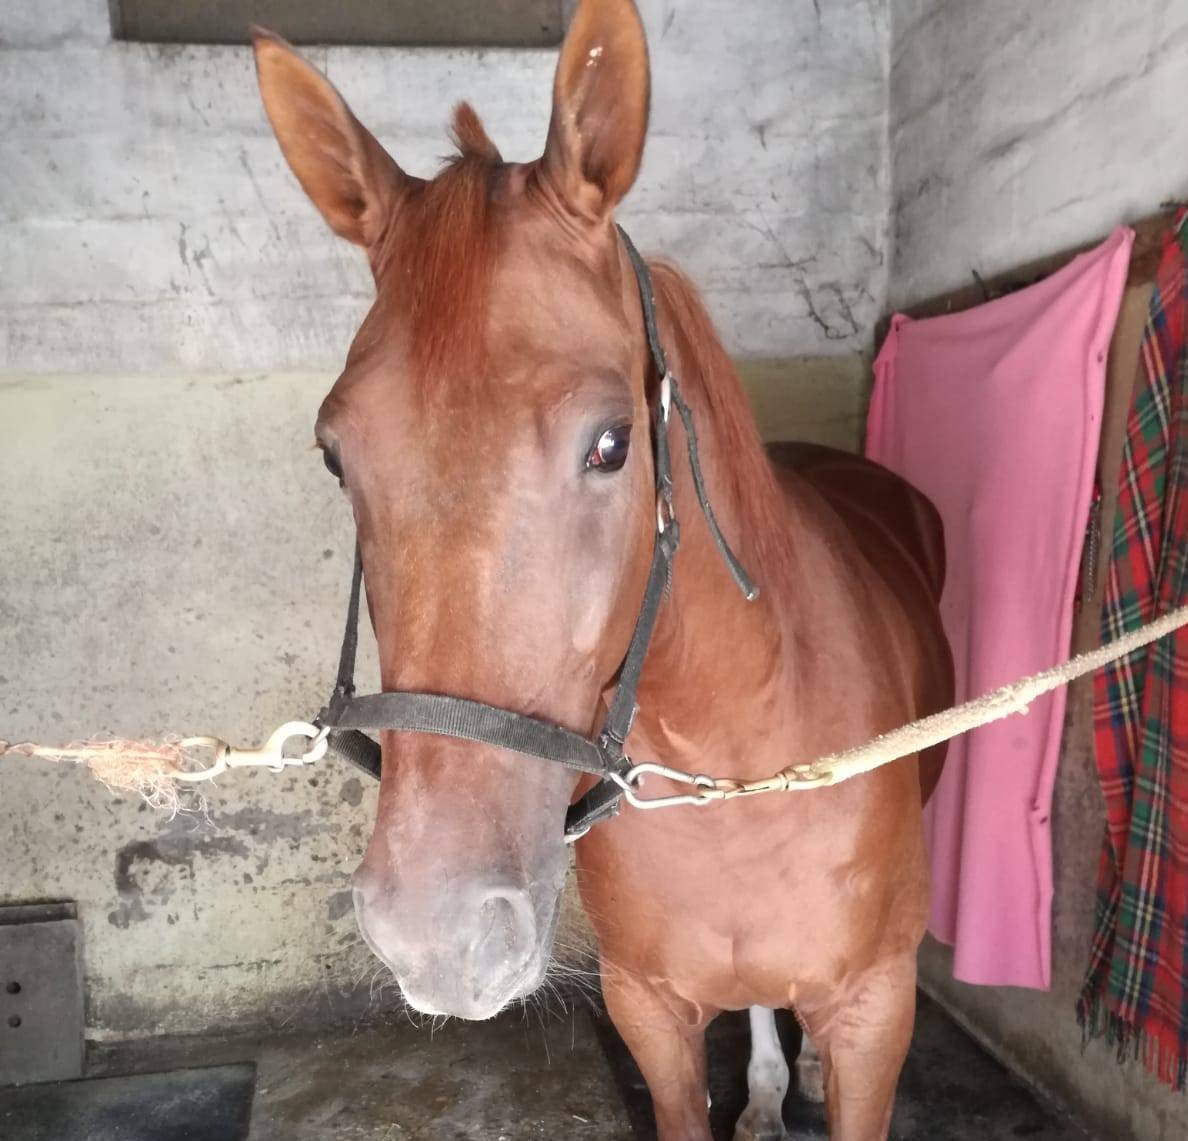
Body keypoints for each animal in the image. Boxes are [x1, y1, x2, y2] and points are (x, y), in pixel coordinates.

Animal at [250, 2, 953, 1137]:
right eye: (334, 455)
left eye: (613, 442)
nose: (438, 933)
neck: (734, 758)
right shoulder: (648, 1012)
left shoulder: (878, 1014)